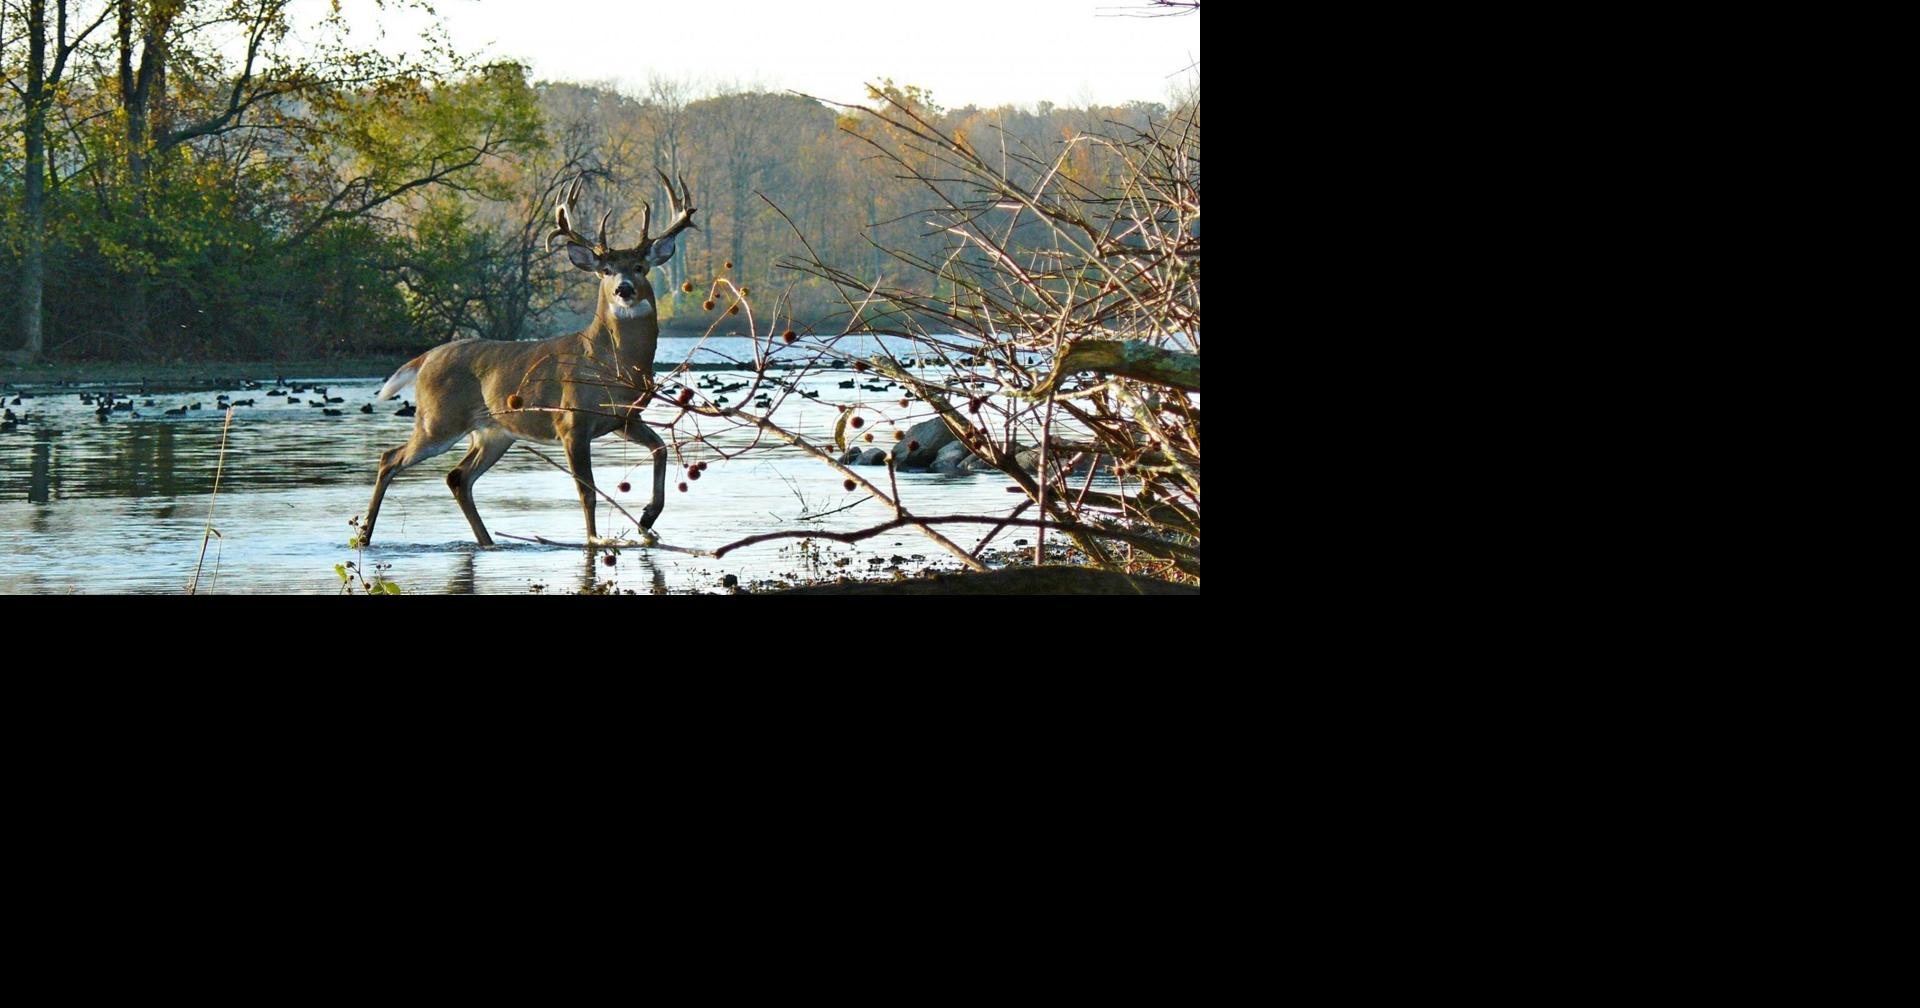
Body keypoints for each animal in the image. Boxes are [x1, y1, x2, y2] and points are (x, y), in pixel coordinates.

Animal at [358, 172, 696, 549]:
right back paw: (364, 536)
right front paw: (595, 539)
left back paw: (488, 541)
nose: (624, 288)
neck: (611, 363)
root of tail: (426, 356)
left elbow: (661, 448)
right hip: (438, 420)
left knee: (458, 477)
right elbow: (587, 491)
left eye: (639, 267)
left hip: (493, 432)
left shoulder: (623, 418)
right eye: (606, 270)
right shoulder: (571, 422)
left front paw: (647, 519)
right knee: (391, 458)